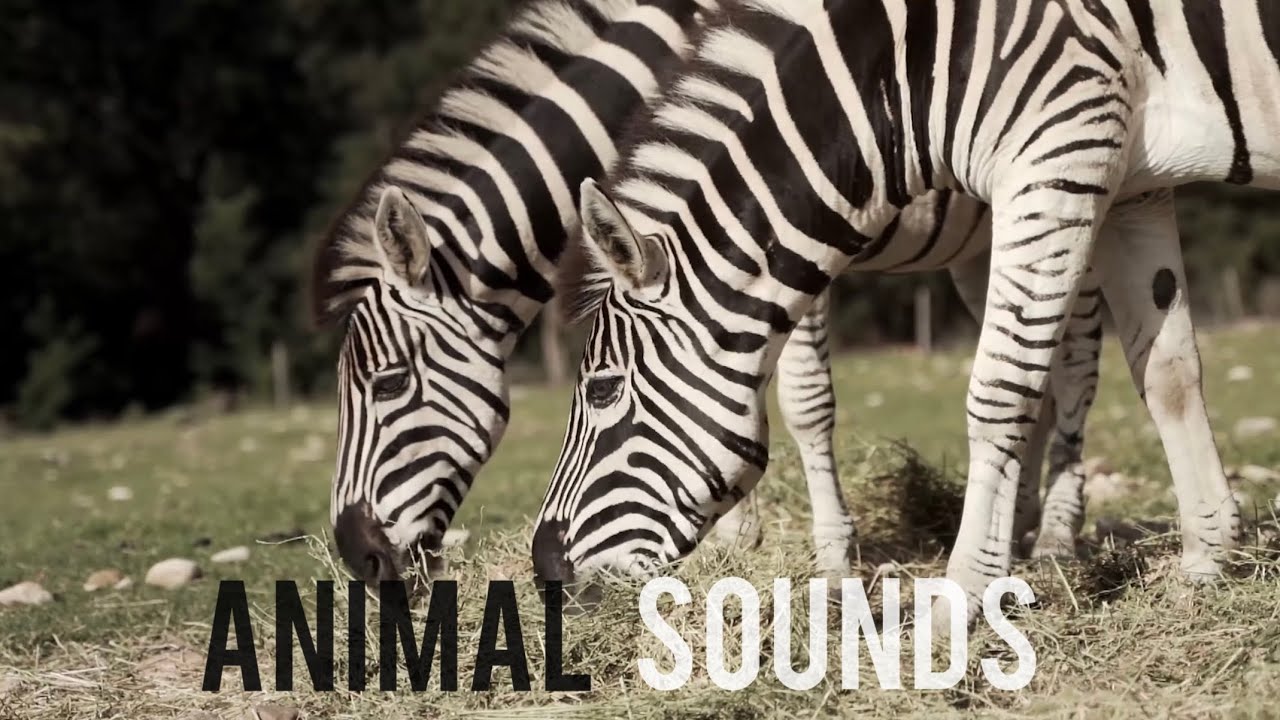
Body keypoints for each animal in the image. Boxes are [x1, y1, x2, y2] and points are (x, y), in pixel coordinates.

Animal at [311, 0, 1098, 584]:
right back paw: (1017, 529)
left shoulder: (797, 240)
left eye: (387, 384)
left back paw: (1057, 539)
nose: (359, 559)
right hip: (984, 239)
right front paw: (737, 535)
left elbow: (804, 402)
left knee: (1077, 364)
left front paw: (832, 557)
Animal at [532, 0, 1253, 628]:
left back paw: (1049, 538)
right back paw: (1024, 526)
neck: (902, 75)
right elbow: (1165, 370)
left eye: (602, 390)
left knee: (1070, 370)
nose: (544, 570)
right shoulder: (1117, 177)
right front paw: (1205, 569)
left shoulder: (1062, 151)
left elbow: (842, 399)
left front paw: (922, 591)